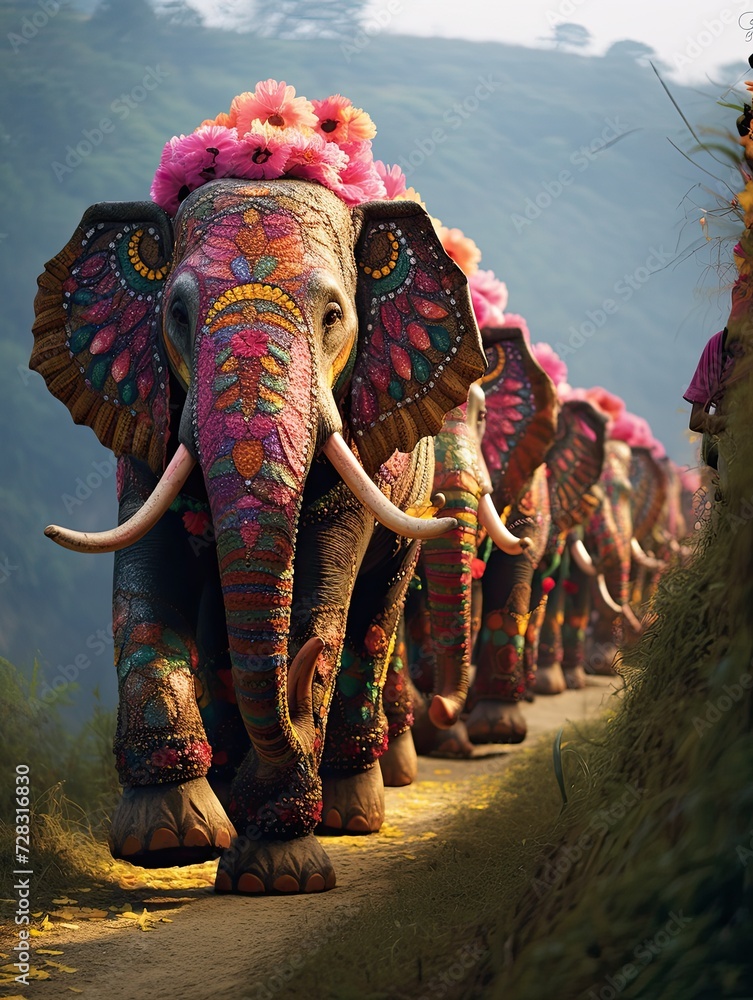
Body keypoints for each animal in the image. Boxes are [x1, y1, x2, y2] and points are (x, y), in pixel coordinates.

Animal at [30, 175, 487, 893]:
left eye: (333, 316)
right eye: (177, 314)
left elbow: (323, 592)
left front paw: (274, 872)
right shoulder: (146, 419)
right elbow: (147, 577)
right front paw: (170, 839)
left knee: (374, 615)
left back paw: (348, 814)